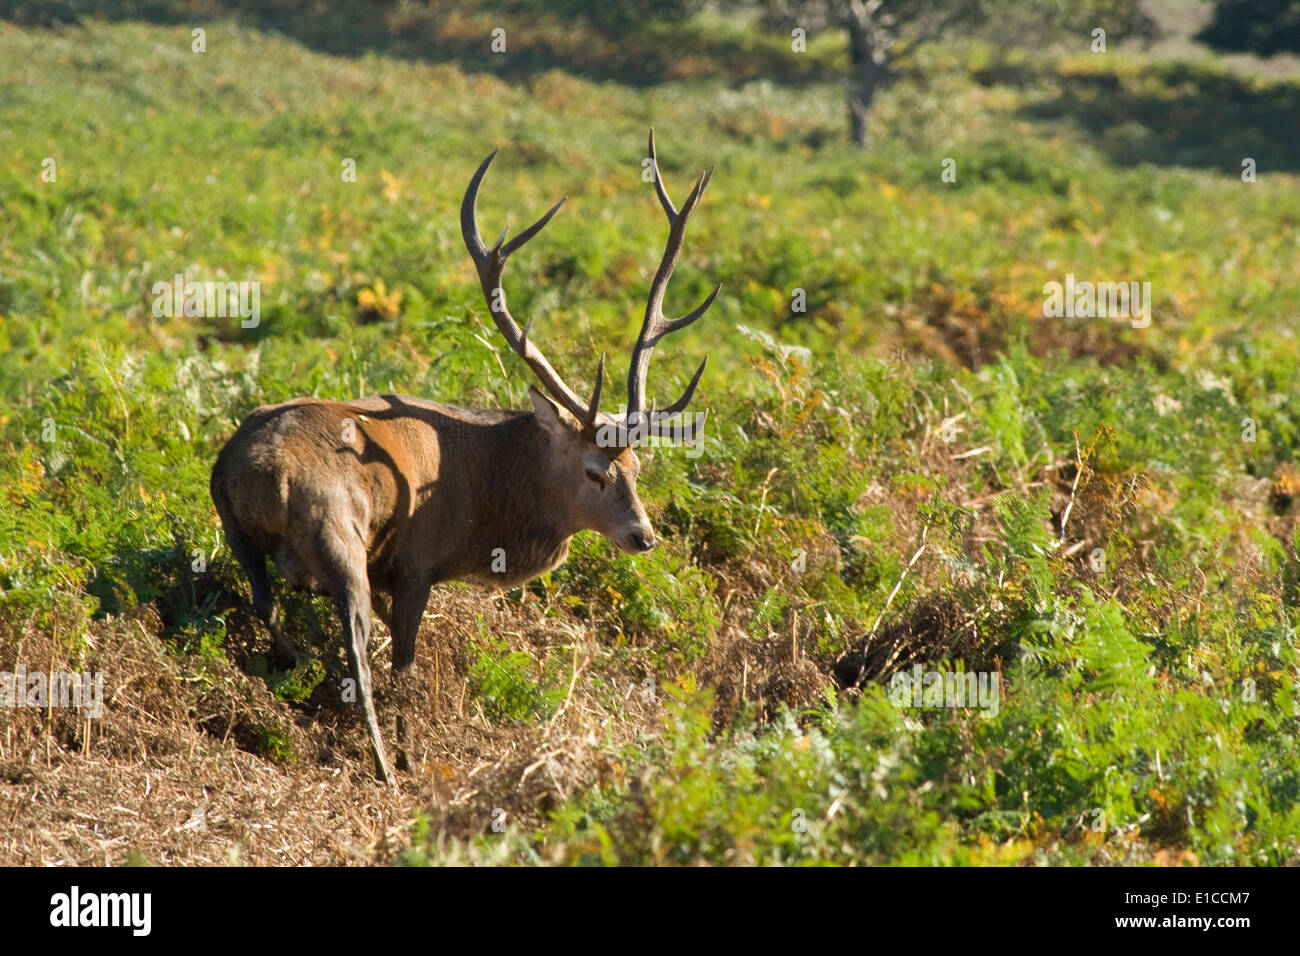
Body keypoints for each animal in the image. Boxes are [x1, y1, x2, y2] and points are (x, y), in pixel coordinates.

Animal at [209, 131, 719, 784]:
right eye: (594, 472)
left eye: (636, 468)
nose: (644, 536)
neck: (484, 506)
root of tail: (253, 470)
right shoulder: (414, 562)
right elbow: (403, 664)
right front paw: (409, 752)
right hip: (338, 531)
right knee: (358, 653)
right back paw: (384, 765)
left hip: (238, 534)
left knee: (266, 605)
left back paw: (293, 674)